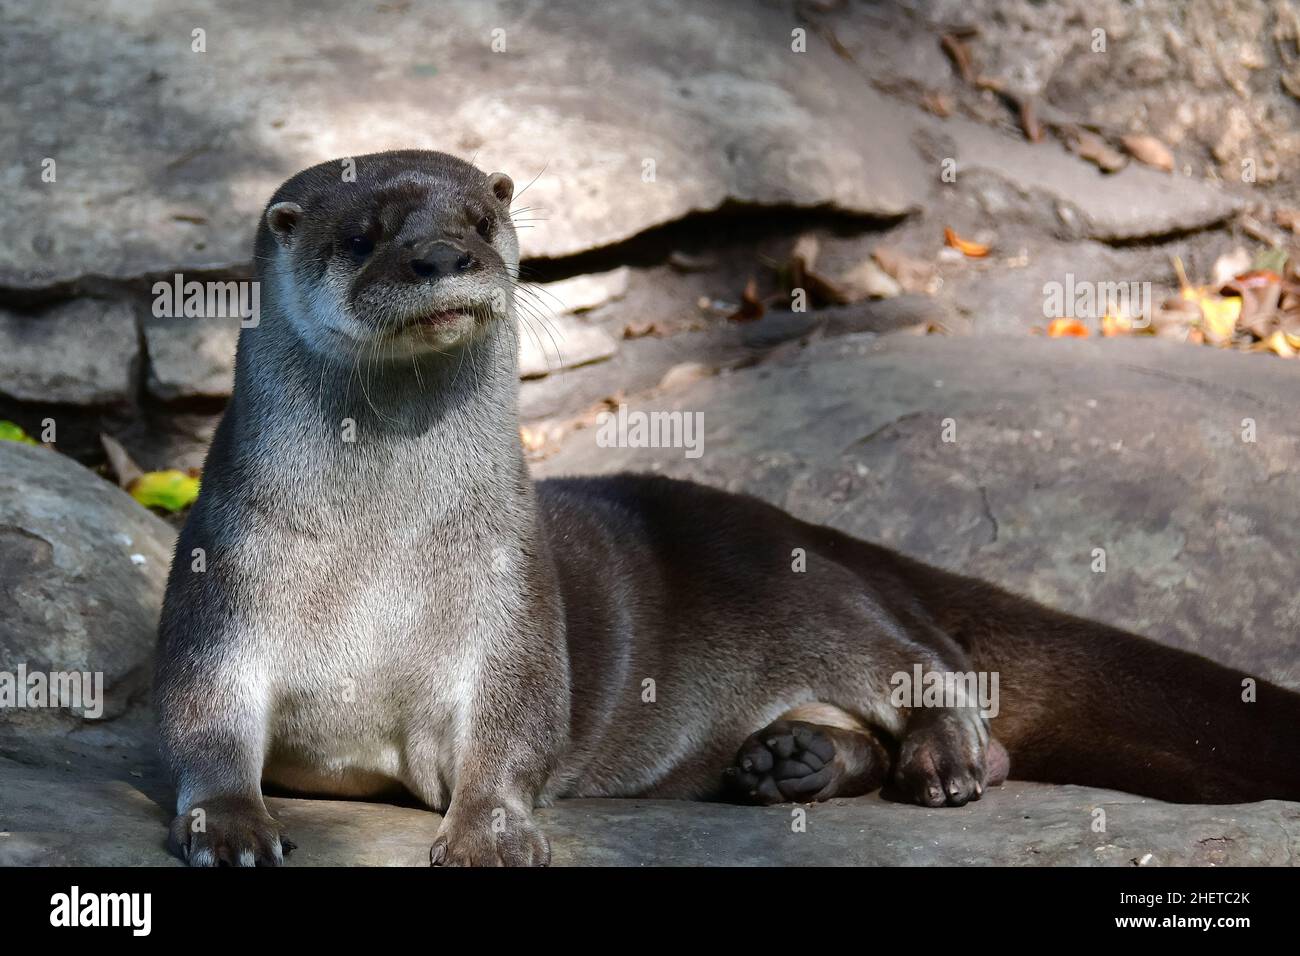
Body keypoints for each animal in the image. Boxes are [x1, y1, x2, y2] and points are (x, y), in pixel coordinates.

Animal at [156, 150, 1300, 866]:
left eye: (482, 220)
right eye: (362, 235)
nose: (446, 255)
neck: (380, 557)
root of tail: (821, 535)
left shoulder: (512, 603)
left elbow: (516, 728)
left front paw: (489, 832)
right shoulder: (225, 578)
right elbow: (199, 718)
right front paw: (231, 823)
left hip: (816, 599)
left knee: (941, 678)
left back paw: (939, 760)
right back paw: (792, 760)